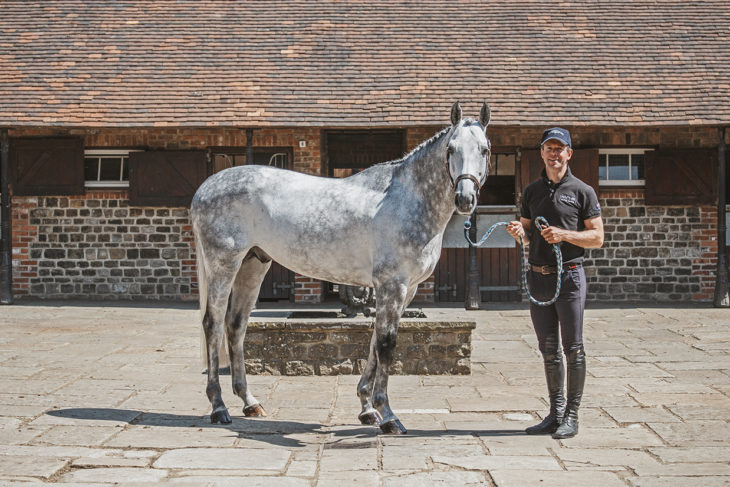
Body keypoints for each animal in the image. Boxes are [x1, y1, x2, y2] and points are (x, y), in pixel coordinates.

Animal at [191, 101, 491, 434]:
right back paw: (218, 407)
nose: (465, 199)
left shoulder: (406, 289)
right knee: (213, 324)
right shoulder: (392, 285)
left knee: (236, 325)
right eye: (451, 149)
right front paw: (388, 416)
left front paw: (367, 408)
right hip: (223, 265)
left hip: (253, 264)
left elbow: (375, 341)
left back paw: (249, 402)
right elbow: (387, 343)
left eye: (485, 149)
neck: (407, 199)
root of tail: (206, 187)